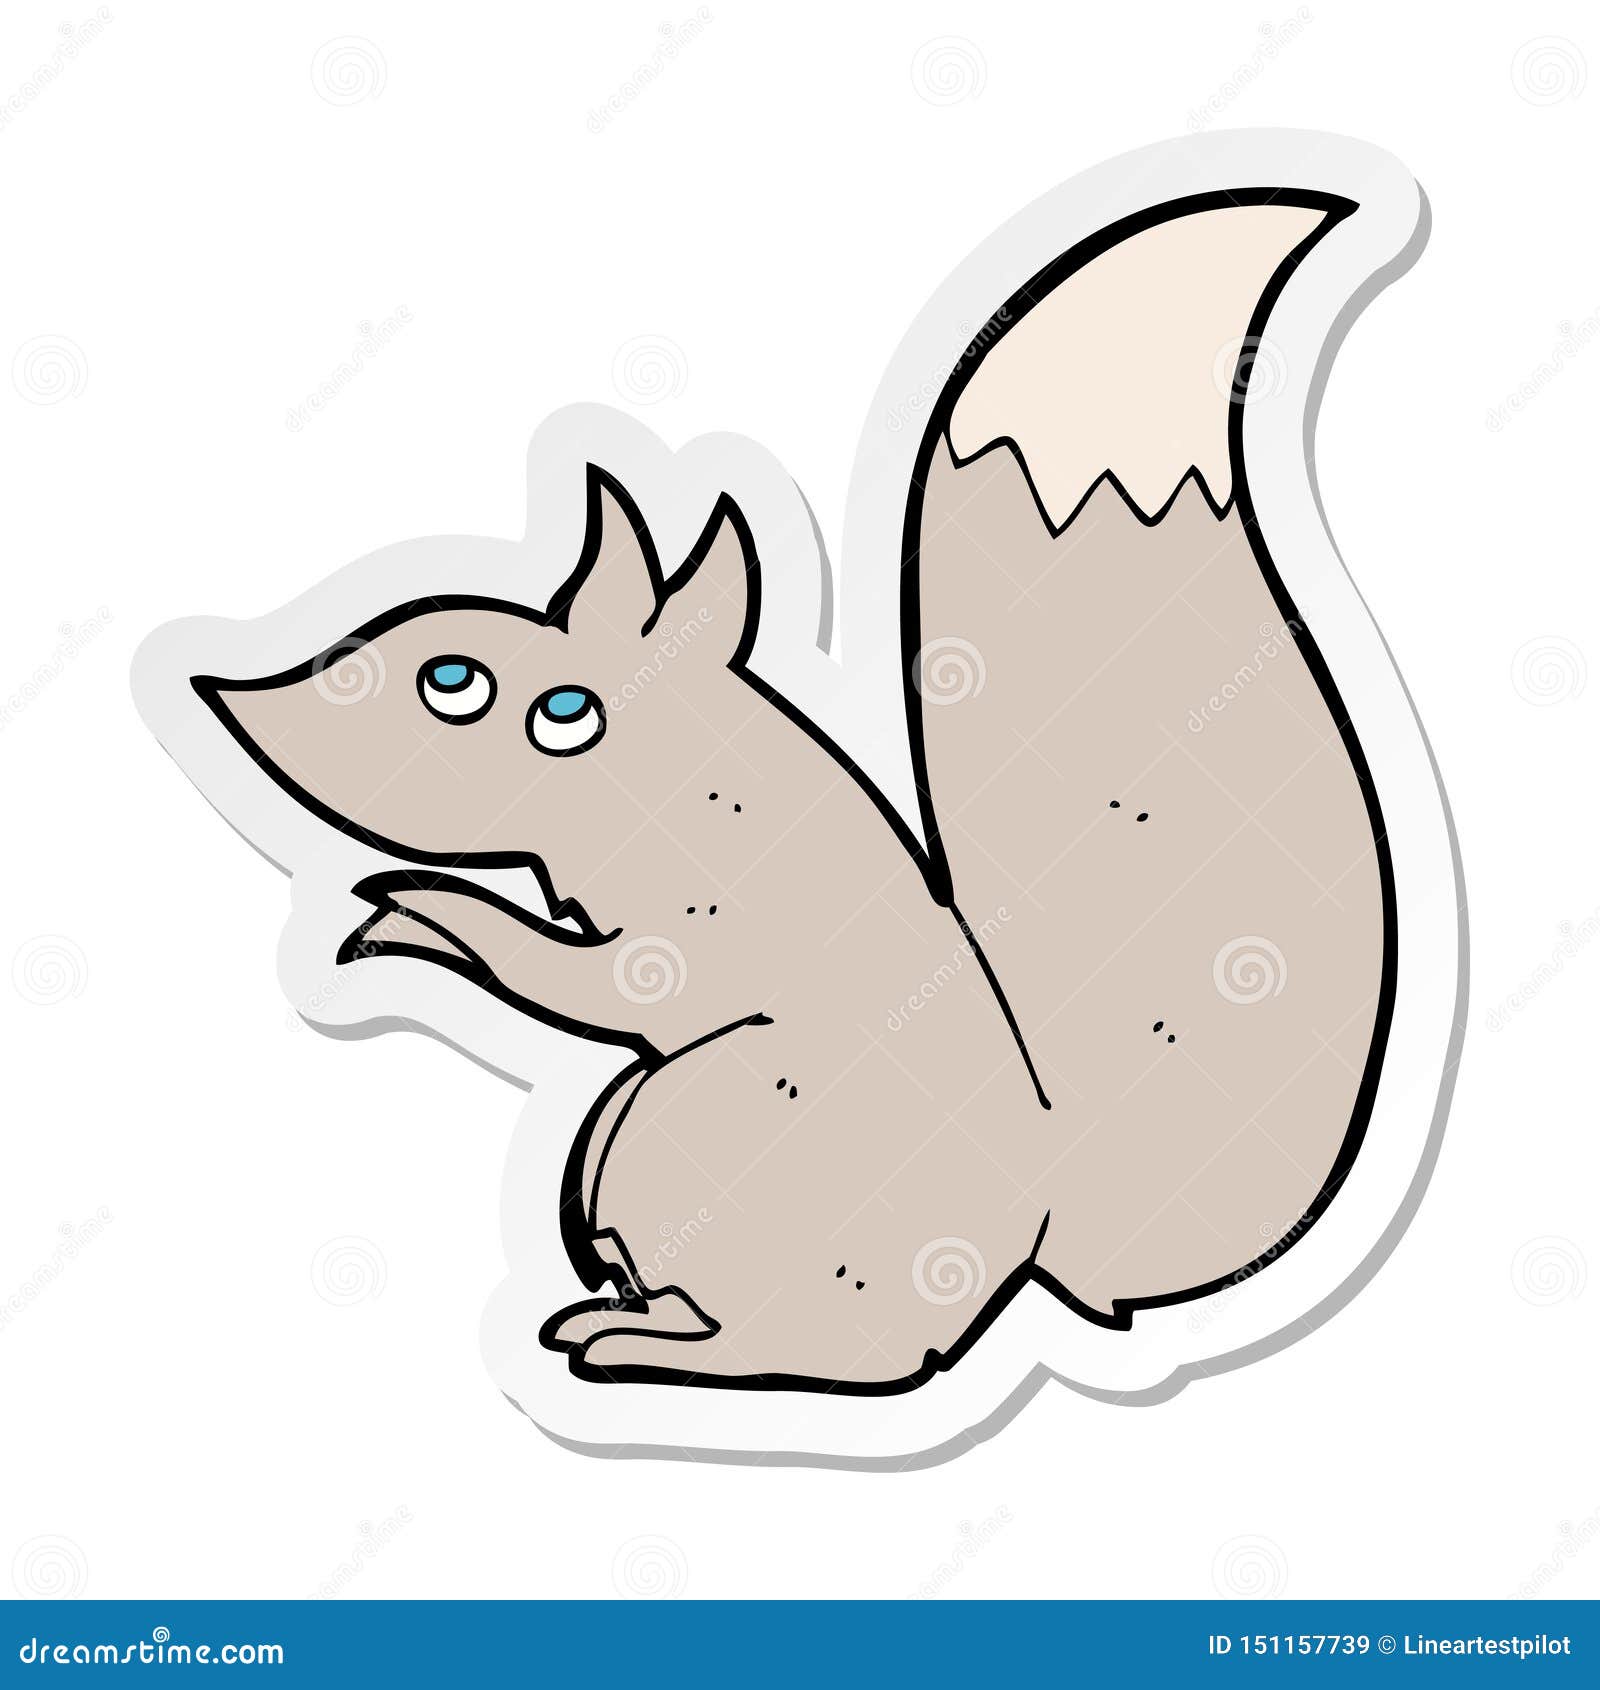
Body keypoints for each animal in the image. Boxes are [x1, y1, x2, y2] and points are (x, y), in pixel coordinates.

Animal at [190, 188, 1392, 1394]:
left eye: (459, 683)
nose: (233, 700)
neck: (673, 782)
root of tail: (1033, 1227)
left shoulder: (691, 937)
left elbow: (597, 985)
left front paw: (433, 915)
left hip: (704, 1121)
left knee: (819, 1350)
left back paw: (637, 1340)